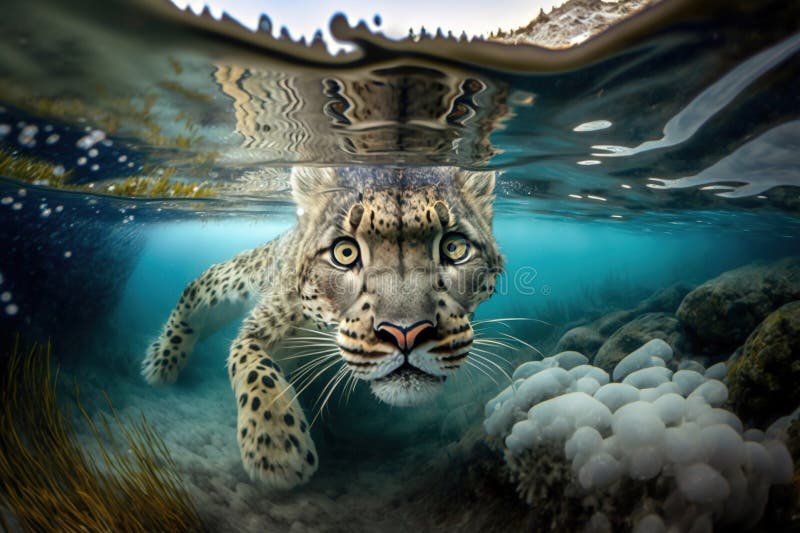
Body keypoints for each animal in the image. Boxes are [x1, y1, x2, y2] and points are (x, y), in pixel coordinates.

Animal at [141, 166, 504, 489]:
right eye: (345, 252)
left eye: (454, 248)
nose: (406, 333)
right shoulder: (258, 328)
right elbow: (255, 368)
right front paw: (275, 444)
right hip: (233, 279)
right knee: (194, 290)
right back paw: (162, 361)